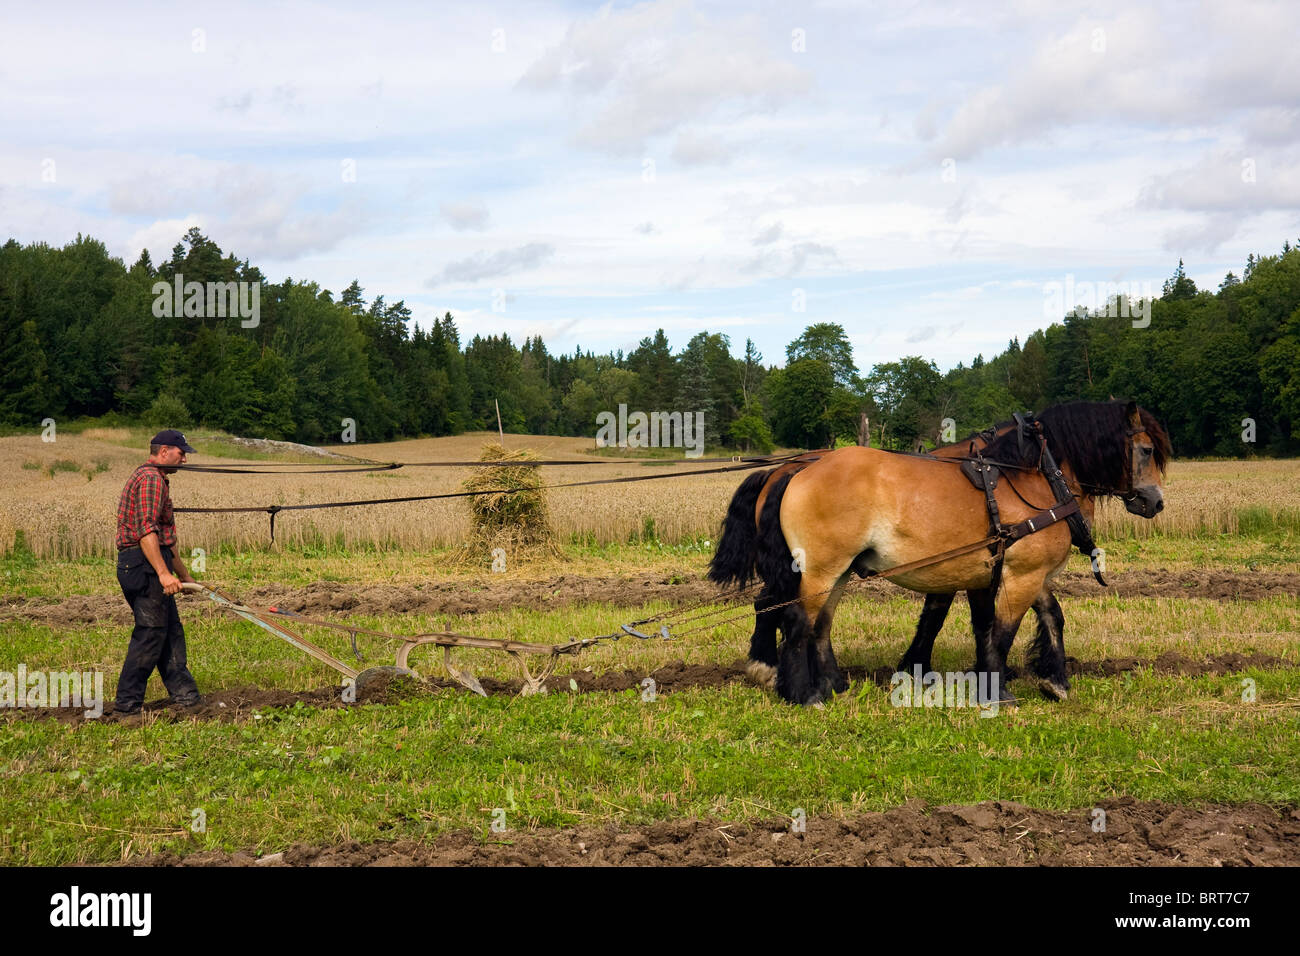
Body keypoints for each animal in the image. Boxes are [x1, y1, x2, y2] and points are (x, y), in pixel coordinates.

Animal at [710, 401, 1169, 705]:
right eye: (1146, 450)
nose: (1155, 502)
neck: (1040, 476)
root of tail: (798, 469)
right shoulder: (1020, 572)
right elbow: (1001, 630)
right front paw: (997, 690)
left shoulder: (1014, 570)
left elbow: (1045, 617)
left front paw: (1054, 679)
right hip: (820, 568)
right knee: (792, 618)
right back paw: (803, 693)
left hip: (831, 571)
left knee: (815, 622)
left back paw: (830, 683)